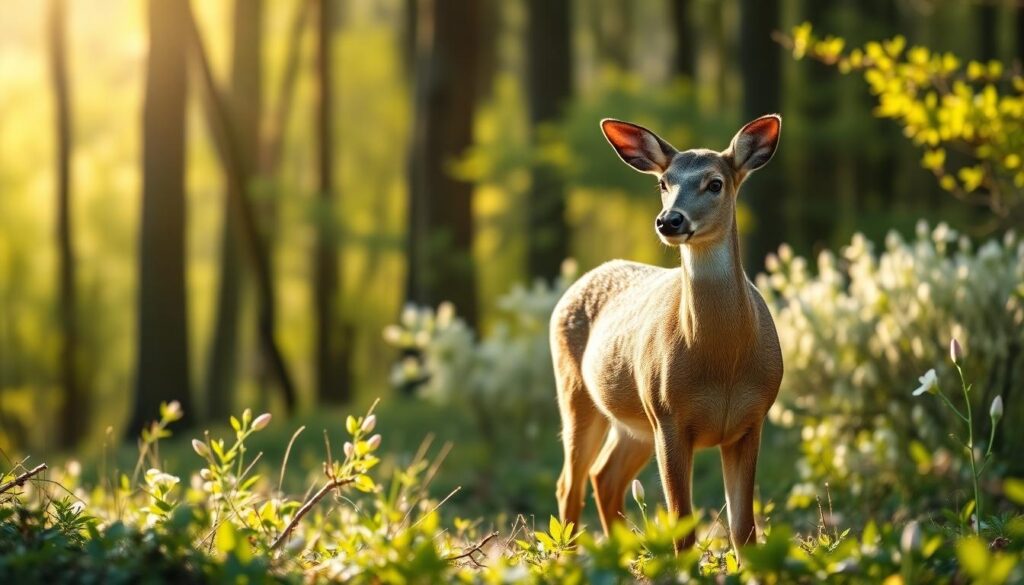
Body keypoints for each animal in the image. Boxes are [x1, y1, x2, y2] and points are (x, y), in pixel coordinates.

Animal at [550, 114, 784, 554]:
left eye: (715, 183)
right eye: (663, 183)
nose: (670, 220)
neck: (723, 362)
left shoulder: (752, 419)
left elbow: (743, 528)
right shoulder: (669, 415)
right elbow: (683, 527)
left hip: (636, 419)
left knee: (604, 477)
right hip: (579, 392)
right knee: (570, 482)